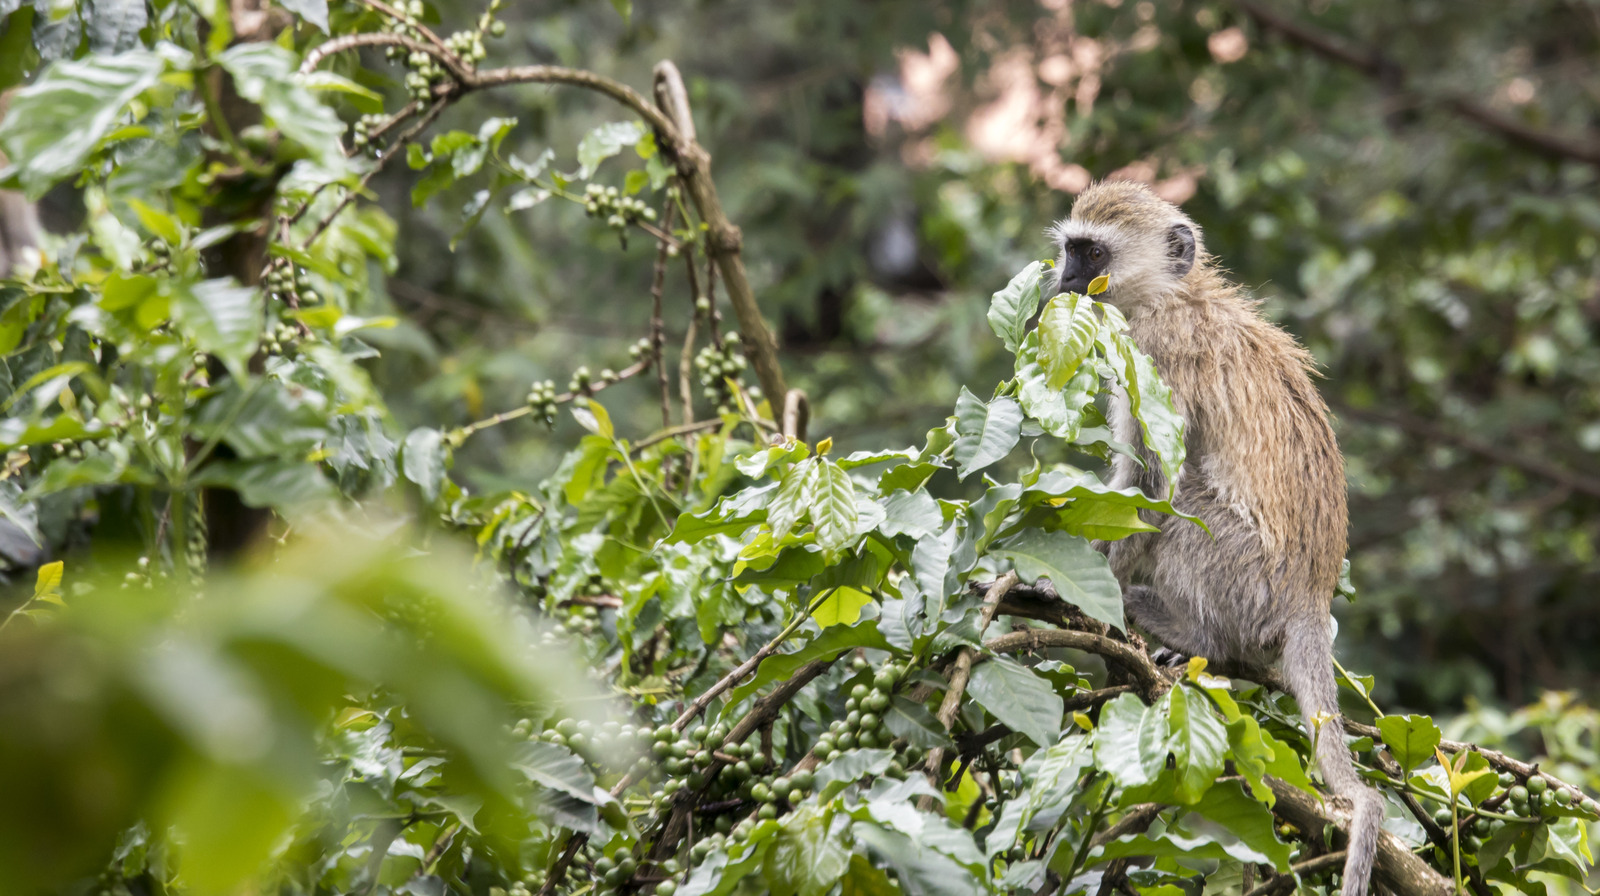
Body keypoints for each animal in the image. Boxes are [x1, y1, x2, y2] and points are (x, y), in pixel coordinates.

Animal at [1047, 181, 1381, 896]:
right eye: (1070, 250)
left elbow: (1152, 484)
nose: (1064, 281)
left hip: (1241, 573)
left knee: (1185, 504)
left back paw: (1189, 632)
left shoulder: (1158, 353)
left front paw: (1074, 585)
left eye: (1093, 253)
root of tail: (1310, 598)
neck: (1174, 297)